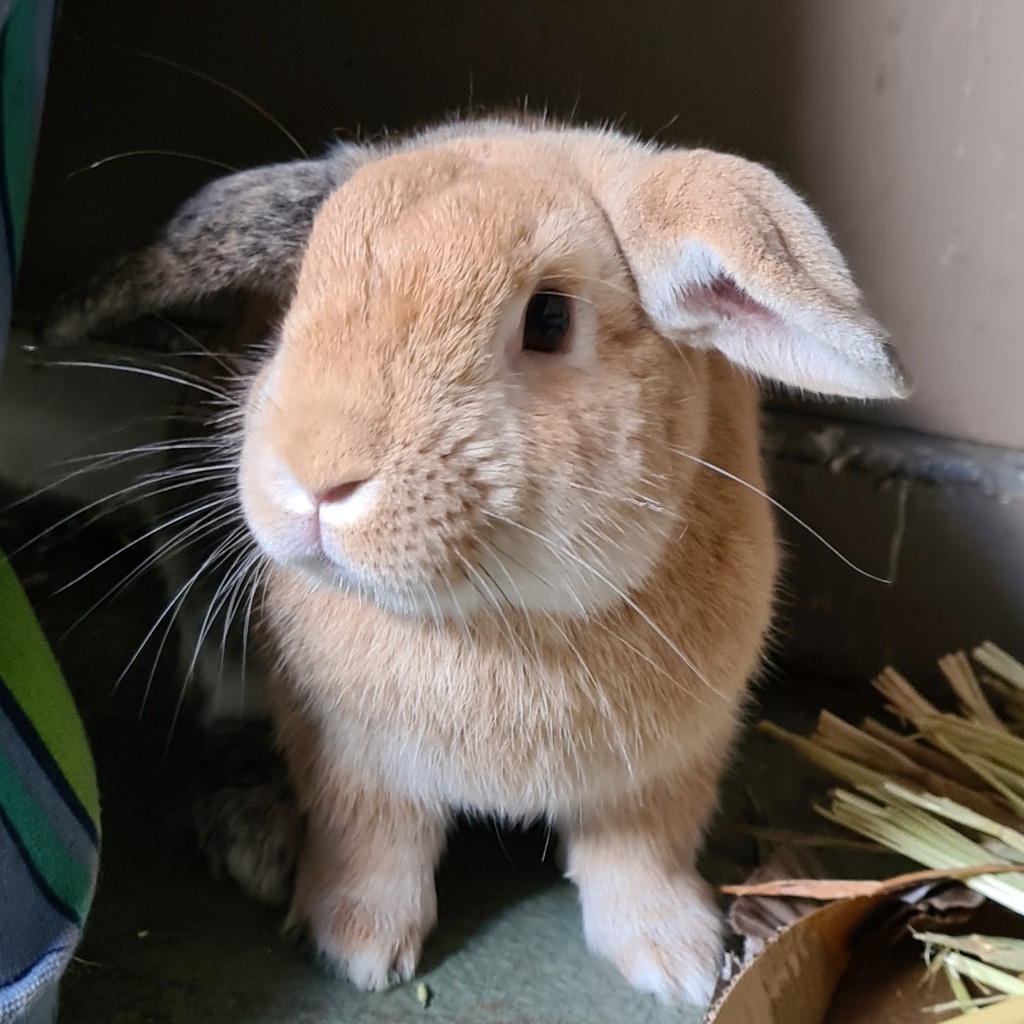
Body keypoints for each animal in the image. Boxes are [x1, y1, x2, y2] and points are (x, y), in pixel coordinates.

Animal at [39, 114, 908, 1006]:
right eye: (295, 298)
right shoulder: (352, 753)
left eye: (550, 319)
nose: (315, 478)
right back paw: (255, 836)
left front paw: (682, 965)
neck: (496, 617)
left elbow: (640, 855)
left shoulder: (669, 764)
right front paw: (358, 951)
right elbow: (373, 846)